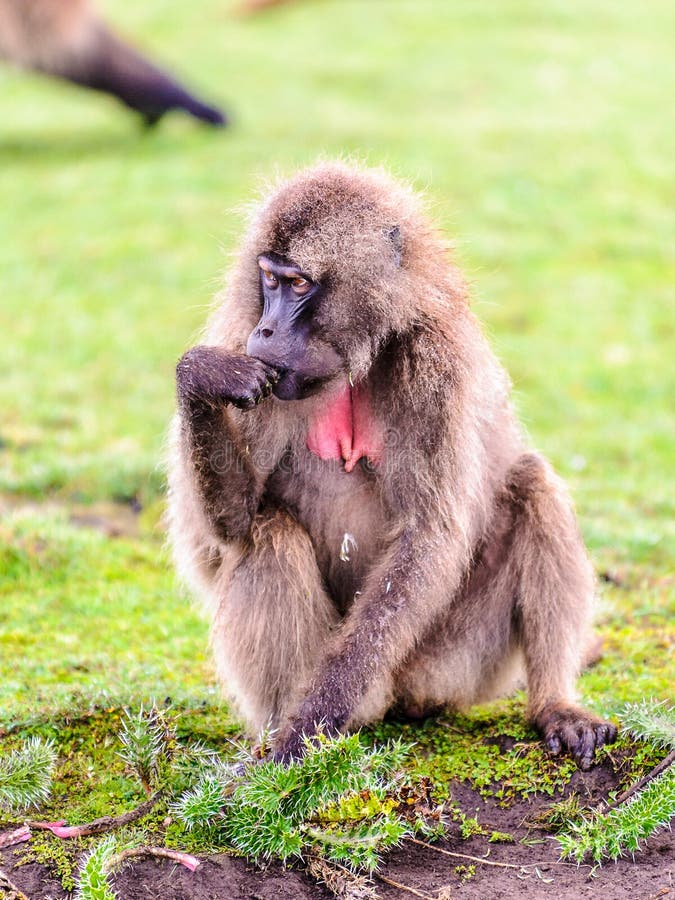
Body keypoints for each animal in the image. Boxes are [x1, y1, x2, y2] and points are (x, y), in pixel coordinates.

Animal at [167, 161, 617, 770]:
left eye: (300, 284)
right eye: (268, 278)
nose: (266, 332)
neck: (356, 357)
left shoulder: (435, 362)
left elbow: (427, 535)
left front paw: (310, 725)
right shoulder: (242, 342)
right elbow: (224, 532)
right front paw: (201, 376)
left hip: (449, 664)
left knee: (532, 483)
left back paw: (553, 704)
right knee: (268, 533)